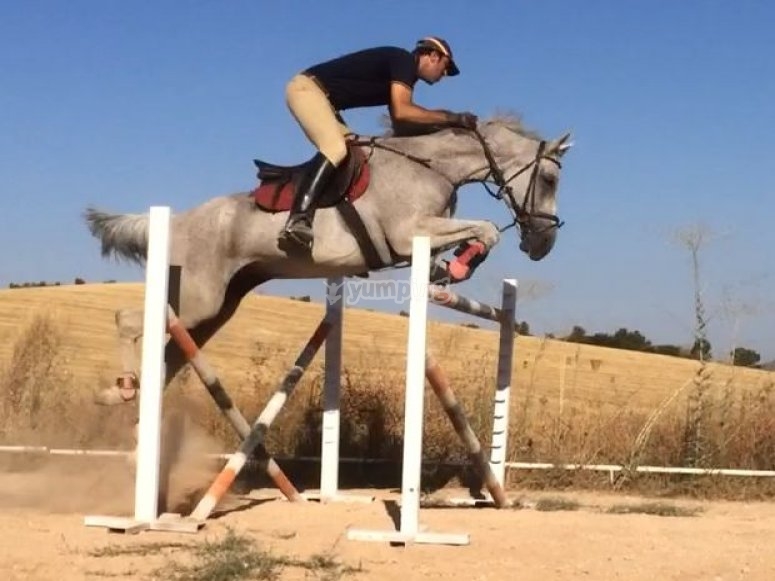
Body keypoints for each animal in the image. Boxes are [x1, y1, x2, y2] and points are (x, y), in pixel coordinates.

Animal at [83, 115, 572, 404]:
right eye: (548, 179)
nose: (543, 243)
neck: (431, 166)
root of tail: (180, 220)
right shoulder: (406, 233)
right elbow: (485, 229)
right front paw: (459, 265)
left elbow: (468, 237)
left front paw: (446, 268)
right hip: (197, 297)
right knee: (127, 318)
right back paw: (121, 389)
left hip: (215, 310)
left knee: (169, 354)